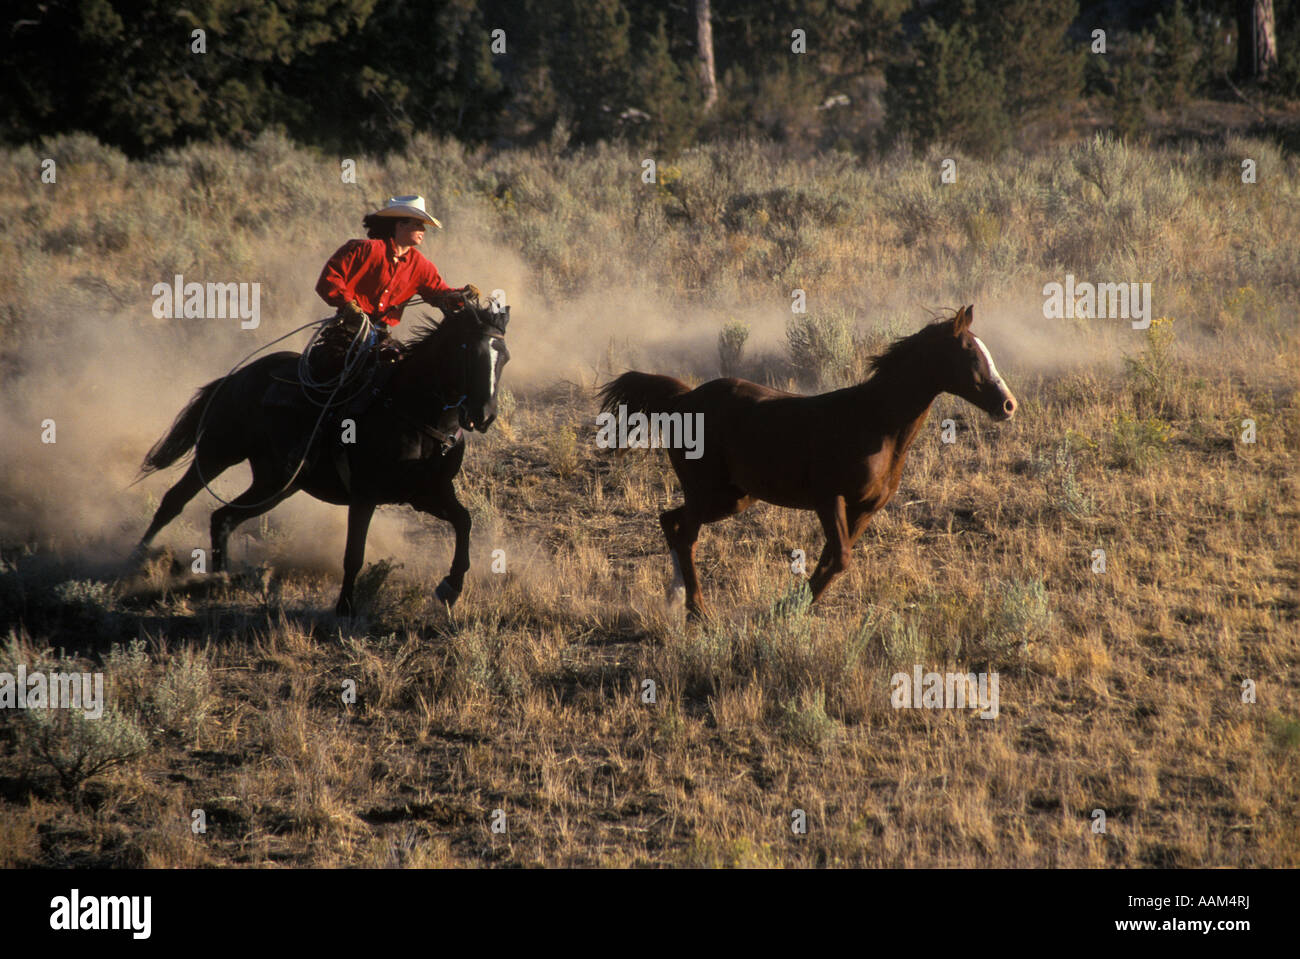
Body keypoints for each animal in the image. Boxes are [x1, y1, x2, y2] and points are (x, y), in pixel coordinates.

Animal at [133, 303, 510, 615]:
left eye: (503, 357)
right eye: (467, 352)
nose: (484, 416)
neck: (413, 413)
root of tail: (235, 378)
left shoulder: (426, 494)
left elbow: (464, 521)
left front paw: (451, 587)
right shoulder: (364, 495)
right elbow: (354, 553)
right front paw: (344, 607)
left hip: (276, 483)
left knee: (223, 518)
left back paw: (221, 581)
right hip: (218, 452)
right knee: (175, 501)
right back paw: (139, 560)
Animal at [597, 305, 1016, 620]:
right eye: (971, 354)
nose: (1007, 404)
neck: (876, 422)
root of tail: (682, 401)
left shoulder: (865, 509)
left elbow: (832, 560)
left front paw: (789, 606)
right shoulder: (829, 500)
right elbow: (840, 559)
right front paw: (783, 609)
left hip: (732, 498)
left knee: (670, 521)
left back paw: (675, 598)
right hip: (709, 493)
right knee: (685, 536)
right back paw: (697, 611)